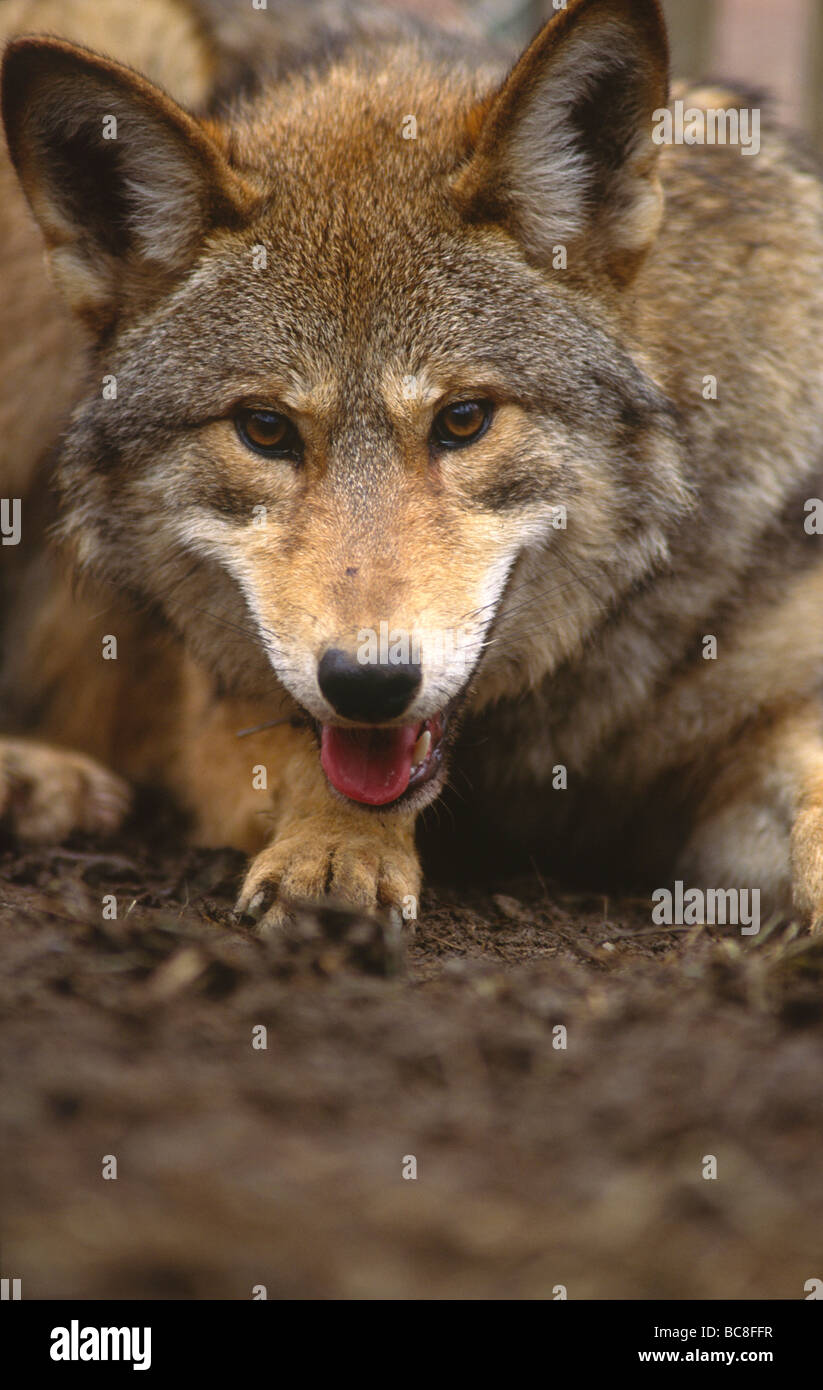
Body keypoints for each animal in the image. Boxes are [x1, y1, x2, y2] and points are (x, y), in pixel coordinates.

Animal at [2, 0, 823, 933]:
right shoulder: (220, 725)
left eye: (462, 420)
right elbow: (311, 763)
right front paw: (335, 851)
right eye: (265, 430)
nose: (369, 684)